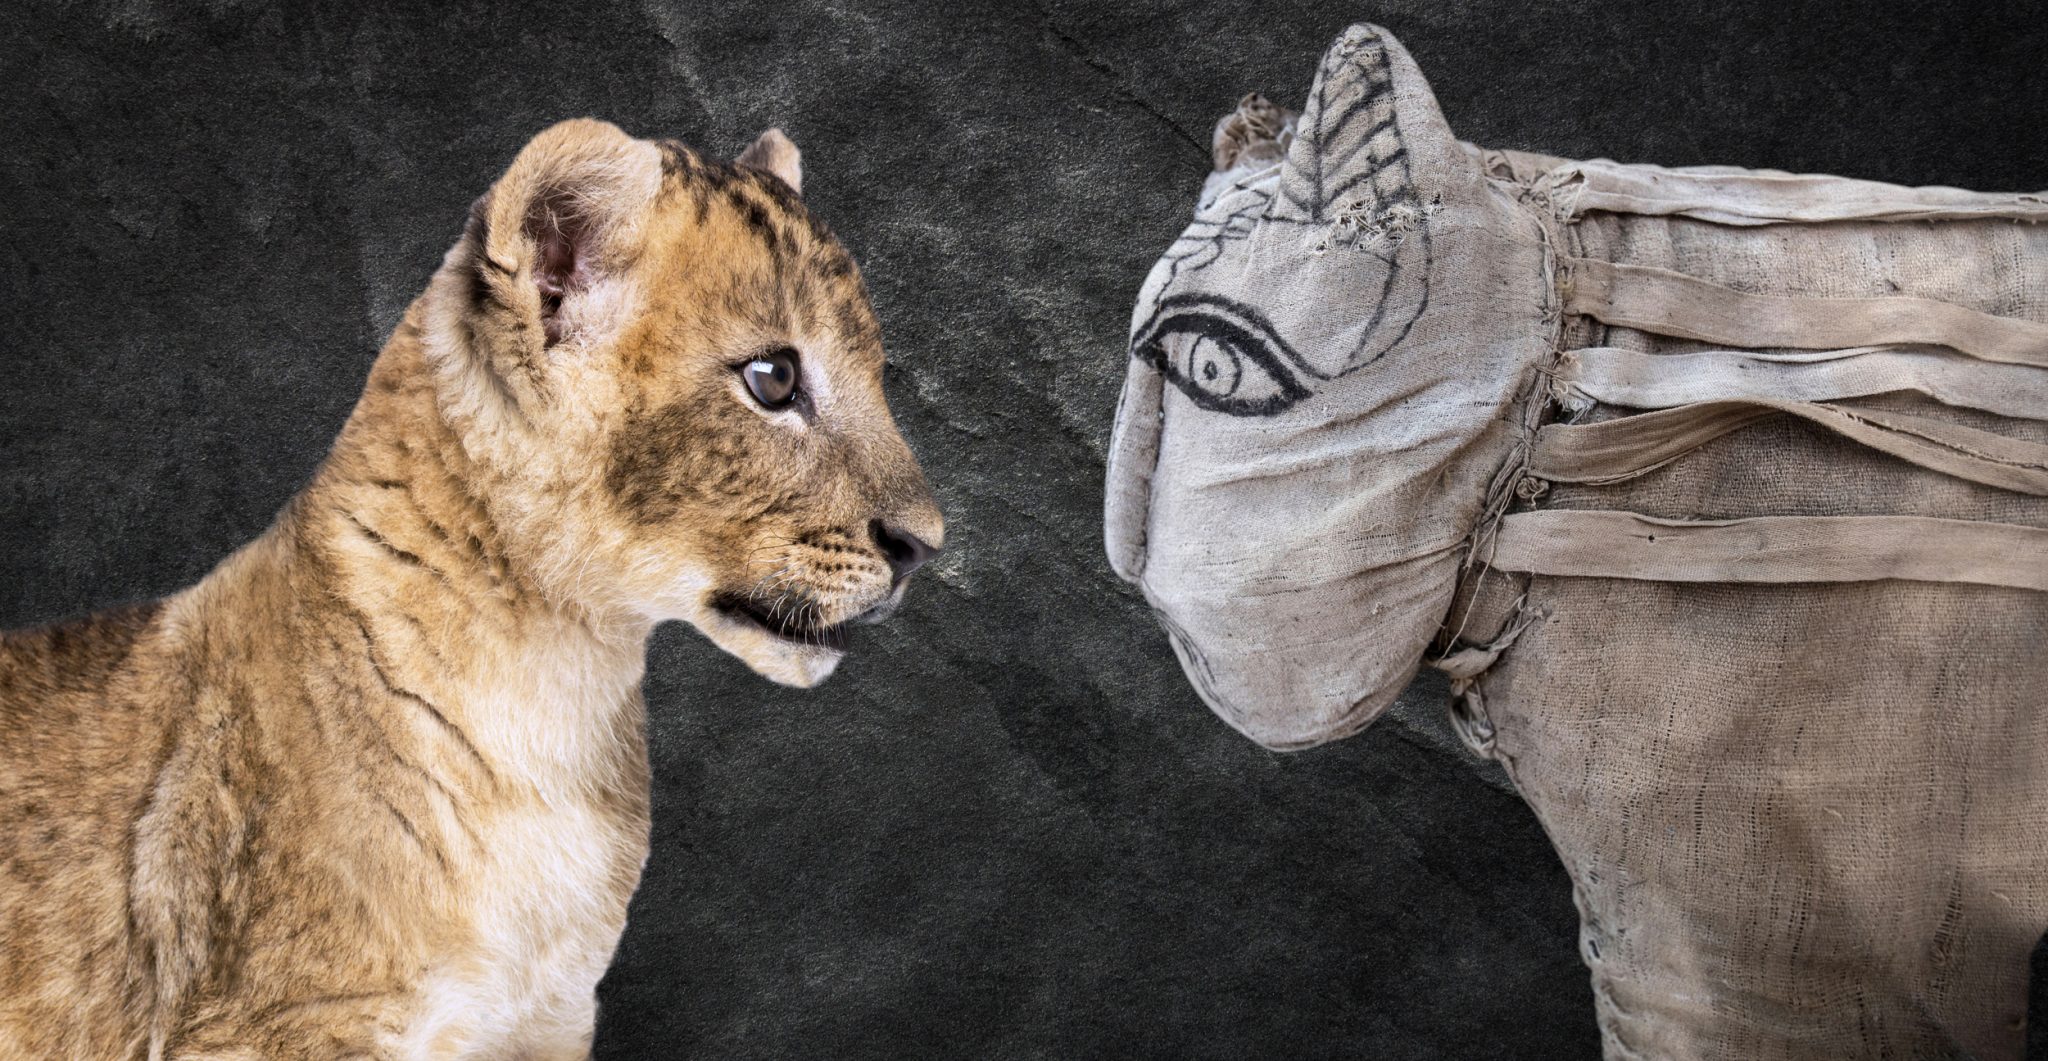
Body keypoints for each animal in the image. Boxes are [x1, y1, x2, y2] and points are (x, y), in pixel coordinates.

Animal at [0, 119, 943, 1058]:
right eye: (773, 380)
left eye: (877, 372)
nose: (926, 545)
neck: (562, 693)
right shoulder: (290, 1022)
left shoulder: (551, 1016)